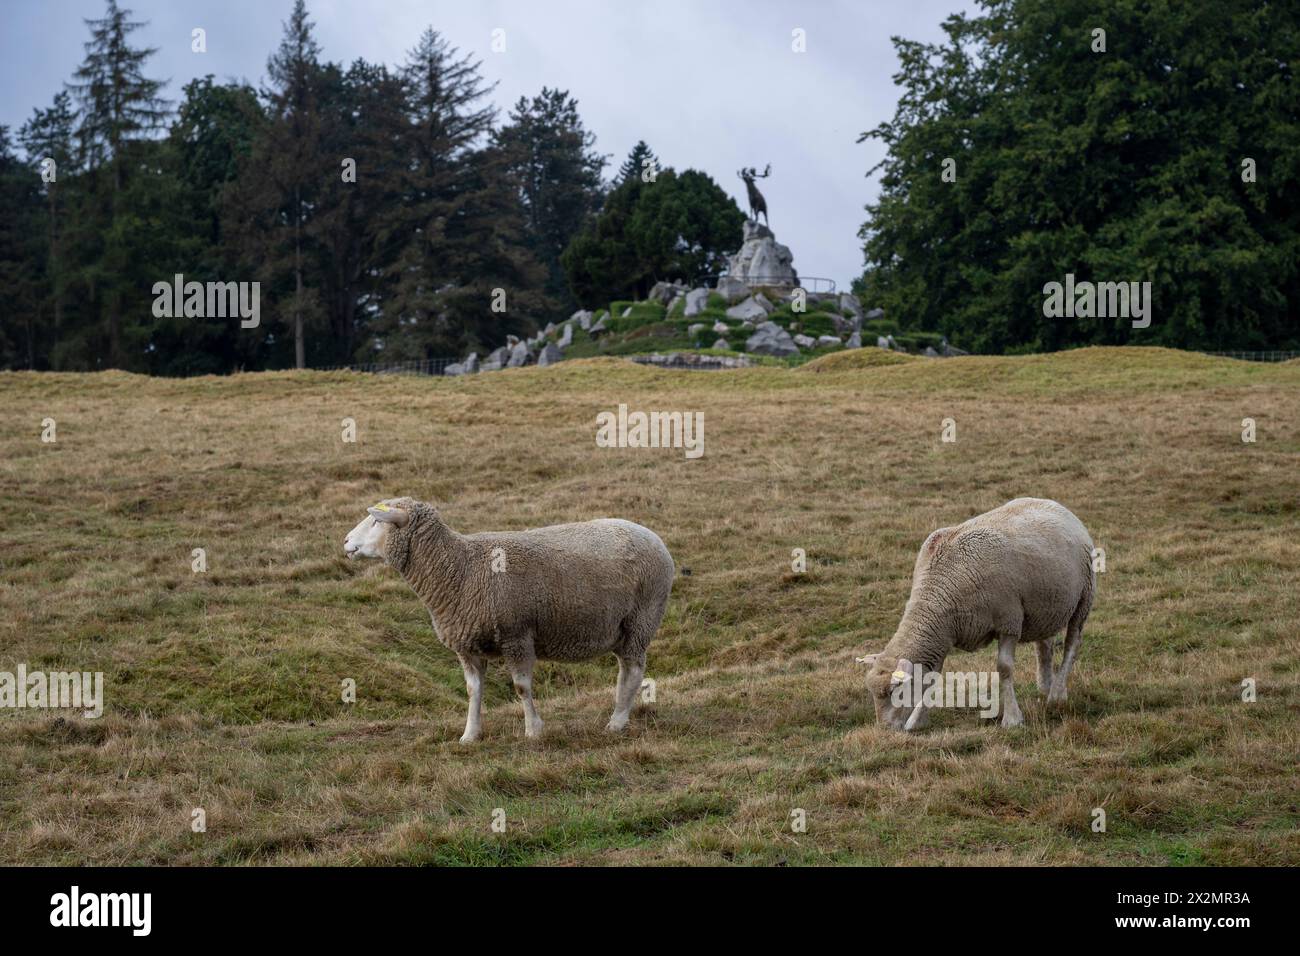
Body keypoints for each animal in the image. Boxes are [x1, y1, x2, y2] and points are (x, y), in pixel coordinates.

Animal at [343, 497, 674, 743]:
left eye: (376, 521)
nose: (346, 541)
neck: (460, 569)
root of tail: (655, 538)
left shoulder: (517, 635)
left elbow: (521, 687)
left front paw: (533, 730)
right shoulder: (468, 646)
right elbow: (473, 690)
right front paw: (470, 735)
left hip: (641, 619)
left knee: (633, 671)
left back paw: (617, 722)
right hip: (622, 627)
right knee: (625, 670)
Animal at [859, 497, 1095, 731]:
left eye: (893, 691)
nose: (884, 729)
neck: (938, 592)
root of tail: (1054, 504)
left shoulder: (1009, 620)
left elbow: (1004, 668)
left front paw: (1012, 719)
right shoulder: (942, 634)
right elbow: (933, 676)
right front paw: (916, 721)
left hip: (1084, 596)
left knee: (1072, 643)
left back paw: (1057, 694)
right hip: (1044, 606)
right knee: (1044, 645)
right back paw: (1046, 687)